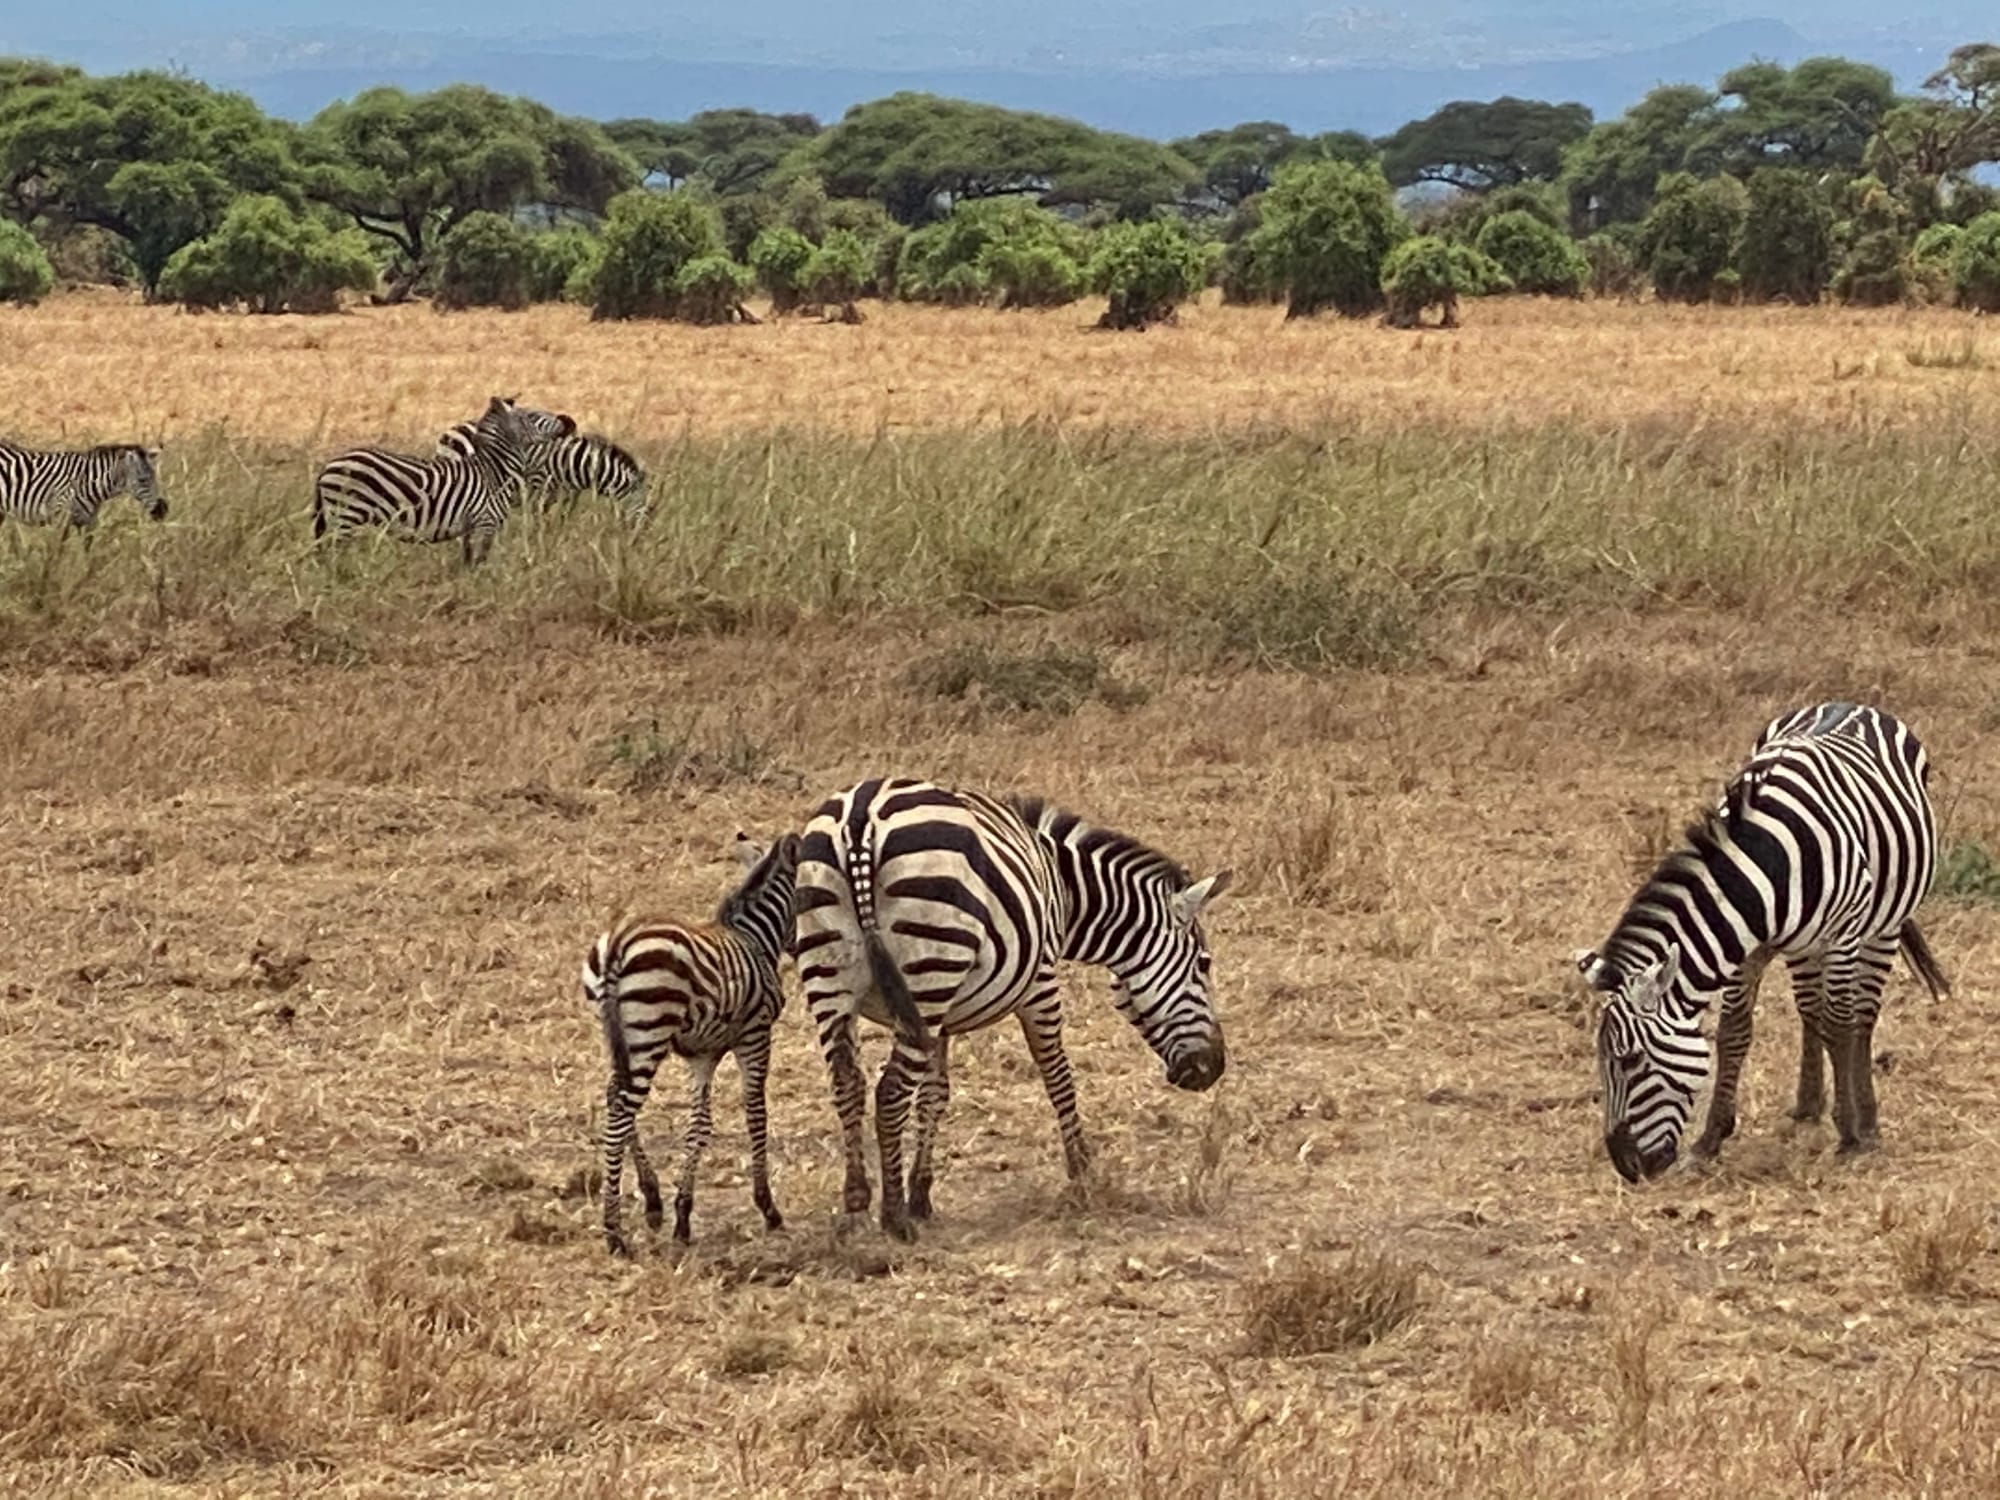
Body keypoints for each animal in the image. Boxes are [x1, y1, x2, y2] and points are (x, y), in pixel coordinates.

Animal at [0, 441, 166, 530]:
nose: (162, 511)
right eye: (142, 480)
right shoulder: (61, 520)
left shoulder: (87, 522)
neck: (87, 483)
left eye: (154, 478)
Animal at [311, 395, 574, 564]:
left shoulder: (470, 527)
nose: (569, 421)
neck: (496, 471)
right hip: (347, 514)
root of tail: (328, 466)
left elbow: (467, 561)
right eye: (533, 415)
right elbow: (480, 561)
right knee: (334, 553)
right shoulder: (486, 523)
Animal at [581, 832, 799, 1256]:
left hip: (620, 1036)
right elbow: (755, 1112)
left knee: (615, 1095)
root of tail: (617, 944)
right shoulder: (755, 1035)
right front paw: (768, 1207)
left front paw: (682, 1214)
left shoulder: (702, 1054)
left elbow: (699, 1124)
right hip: (649, 1032)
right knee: (620, 1111)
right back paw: (613, 1230)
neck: (755, 939)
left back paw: (651, 1201)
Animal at [793, 777, 1231, 1240]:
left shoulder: (942, 1018)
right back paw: (893, 1218)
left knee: (847, 1085)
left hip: (834, 974)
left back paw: (856, 1205)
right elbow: (1058, 1076)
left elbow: (935, 1093)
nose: (1213, 1069)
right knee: (890, 1091)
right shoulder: (1040, 982)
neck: (1064, 889)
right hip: (929, 968)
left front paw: (921, 1193)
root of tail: (861, 819)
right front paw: (1083, 1175)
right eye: (1204, 964)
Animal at [1576, 701, 1947, 1183]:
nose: (1628, 1167)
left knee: (1861, 1017)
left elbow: (1841, 1026)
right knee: (1811, 1010)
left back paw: (1866, 1120)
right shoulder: (1745, 948)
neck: (1764, 864)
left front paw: (1850, 1135)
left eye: (1629, 1060)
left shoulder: (1843, 935)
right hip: (1804, 944)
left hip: (1884, 923)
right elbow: (1734, 1030)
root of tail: (1849, 703)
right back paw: (1808, 1106)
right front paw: (1711, 1138)